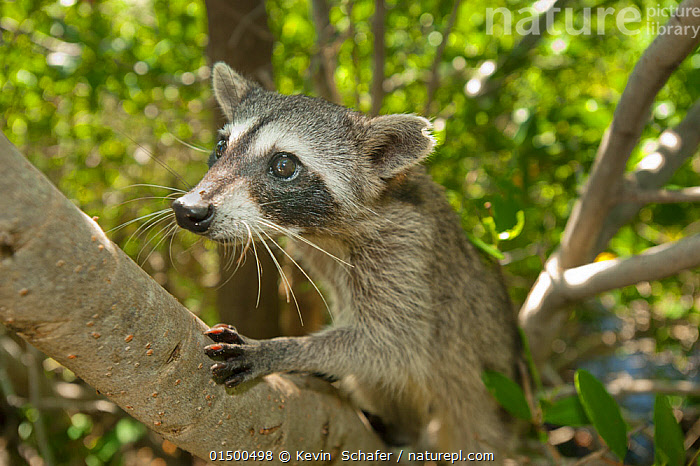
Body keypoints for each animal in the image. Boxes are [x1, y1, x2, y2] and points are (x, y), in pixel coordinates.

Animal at [172, 62, 520, 453]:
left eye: (283, 165)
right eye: (221, 147)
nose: (188, 210)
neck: (323, 231)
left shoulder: (406, 250)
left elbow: (393, 344)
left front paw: (284, 349)